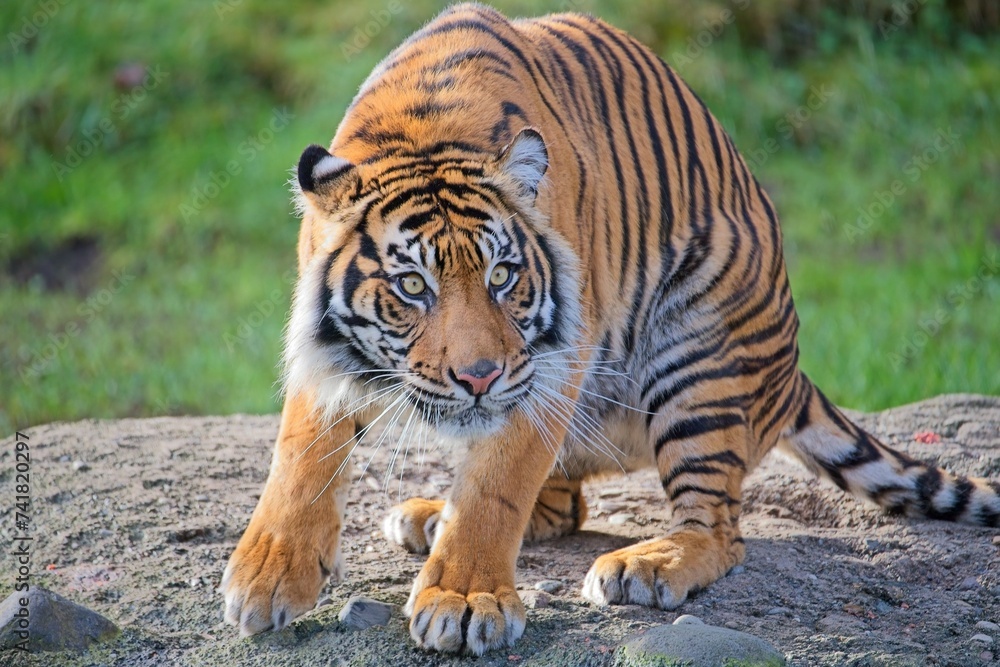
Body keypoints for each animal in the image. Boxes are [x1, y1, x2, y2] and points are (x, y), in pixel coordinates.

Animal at [220, 3, 1000, 655]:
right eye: (413, 286)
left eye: (503, 276)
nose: (479, 379)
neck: (424, 128)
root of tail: (791, 371)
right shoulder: (326, 354)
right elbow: (301, 454)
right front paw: (267, 575)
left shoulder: (547, 365)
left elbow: (497, 486)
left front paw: (464, 599)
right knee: (565, 501)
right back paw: (430, 514)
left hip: (698, 350)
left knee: (717, 527)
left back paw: (646, 562)